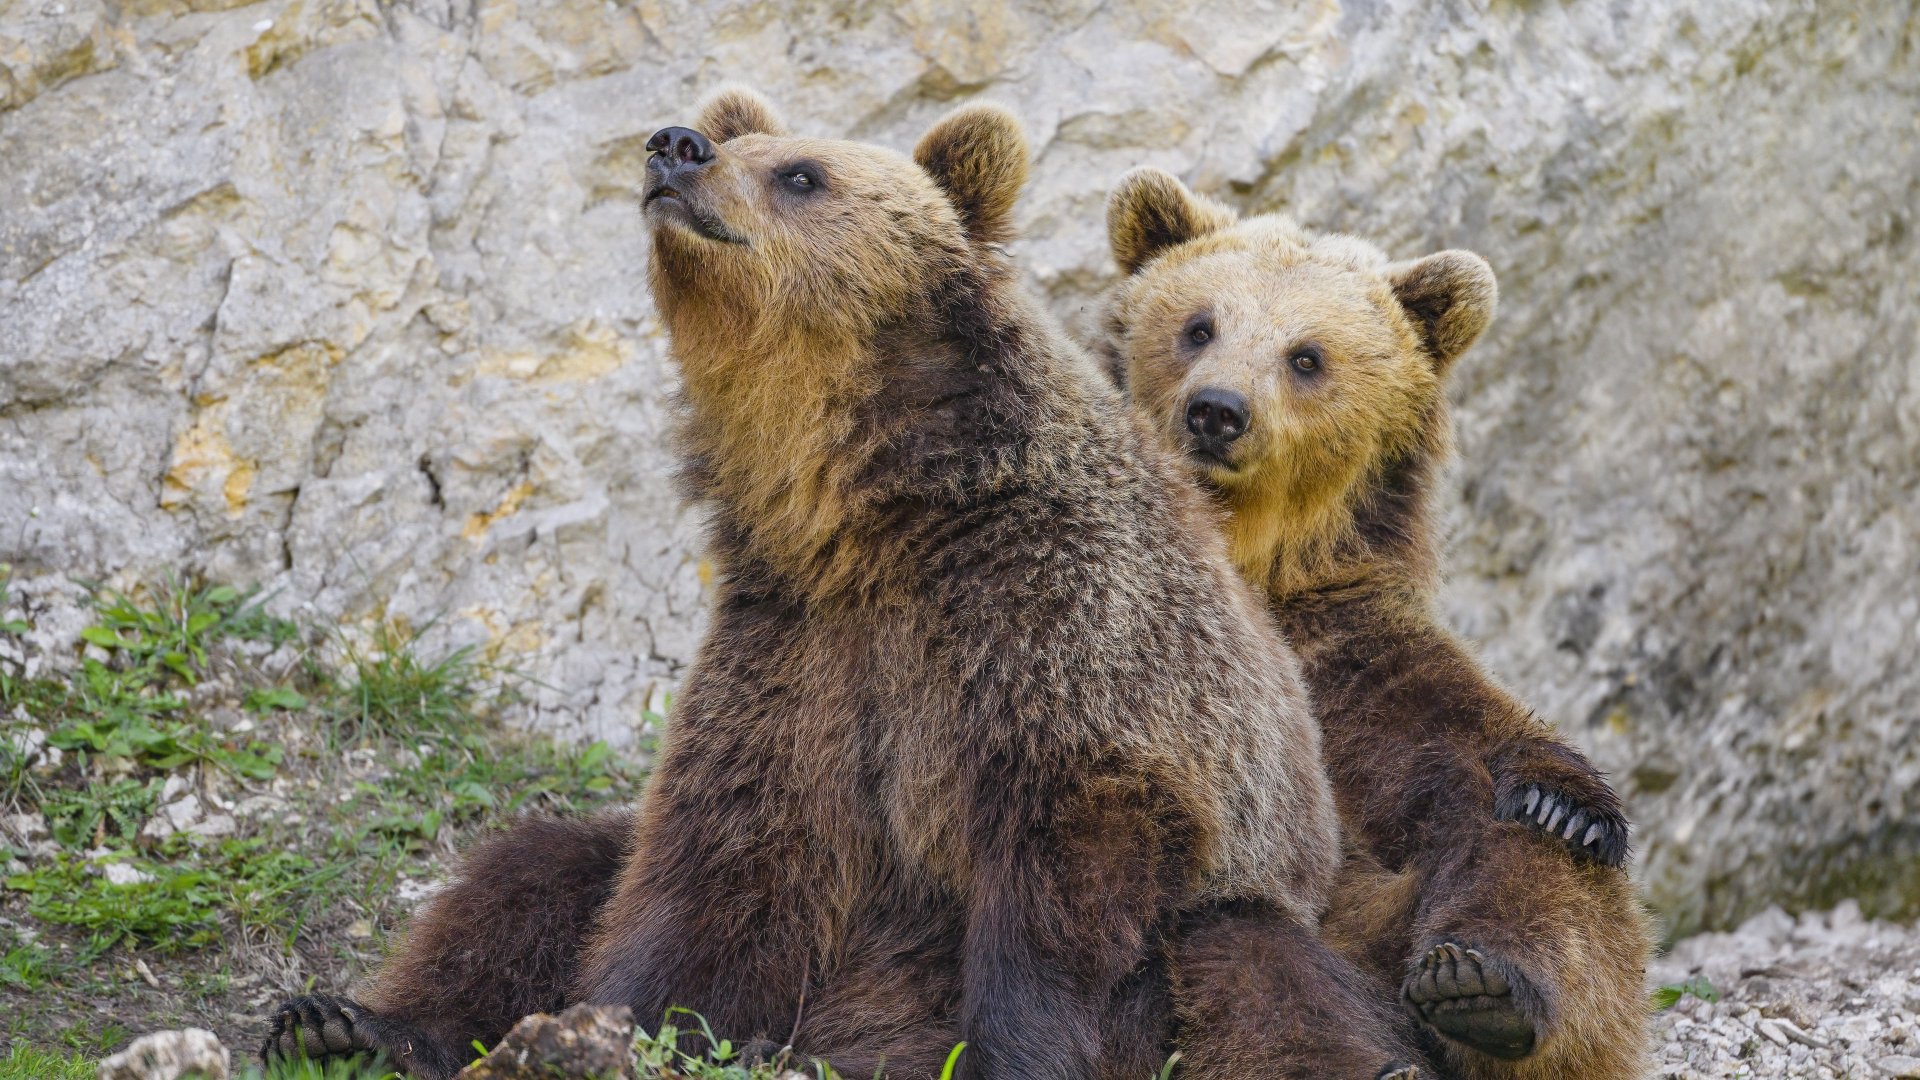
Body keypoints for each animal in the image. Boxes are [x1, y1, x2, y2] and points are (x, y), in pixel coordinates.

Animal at [264, 91, 1421, 1080]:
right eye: (738, 142)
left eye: (801, 174)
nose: (676, 145)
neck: (871, 515)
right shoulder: (798, 644)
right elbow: (721, 856)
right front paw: (620, 1019)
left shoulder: (1060, 633)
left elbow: (1063, 875)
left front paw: (1017, 1049)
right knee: (532, 867)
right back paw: (356, 1021)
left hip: (1235, 926)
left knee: (1260, 980)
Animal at [1097, 167, 1655, 1080]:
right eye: (1198, 325)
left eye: (1306, 356)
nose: (1217, 410)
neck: (1254, 551)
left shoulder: (1344, 650)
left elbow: (1456, 734)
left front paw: (1566, 800)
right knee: (1235, 955)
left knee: (1528, 860)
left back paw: (1481, 986)